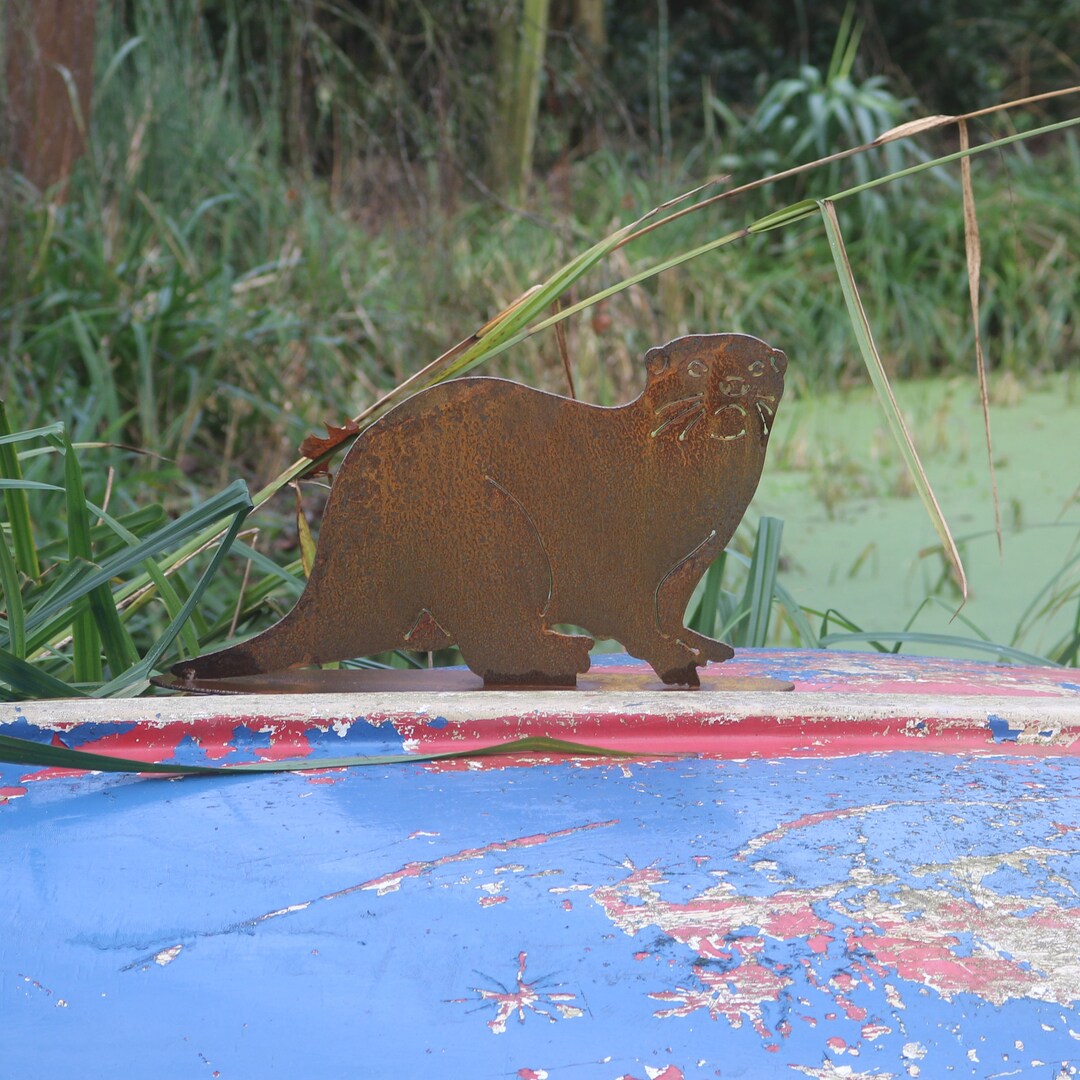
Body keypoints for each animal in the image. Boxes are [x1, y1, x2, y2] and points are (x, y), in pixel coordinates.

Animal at [172, 333, 786, 687]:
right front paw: (672, 661)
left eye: (759, 369)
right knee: (490, 634)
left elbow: (671, 609)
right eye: (697, 368)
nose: (735, 381)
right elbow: (633, 614)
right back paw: (560, 658)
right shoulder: (622, 554)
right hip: (492, 529)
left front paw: (702, 647)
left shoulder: (697, 556)